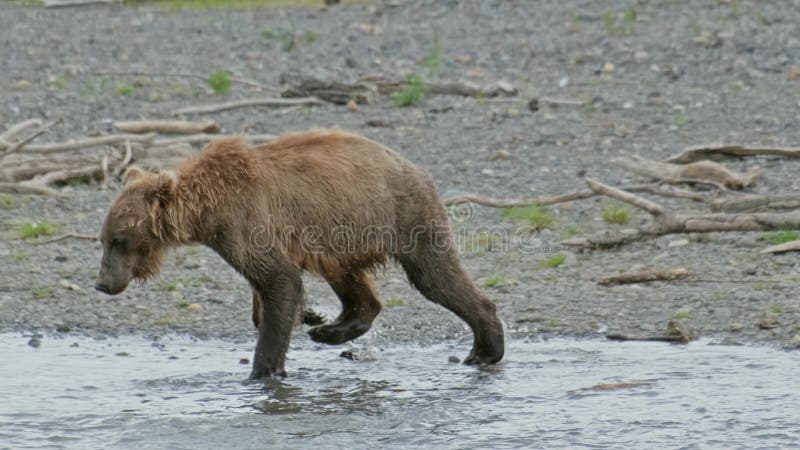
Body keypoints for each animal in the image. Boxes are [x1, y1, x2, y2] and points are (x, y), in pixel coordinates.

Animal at [95, 129, 504, 379]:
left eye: (118, 239)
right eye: (103, 239)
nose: (102, 283)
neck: (207, 210)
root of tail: (414, 166)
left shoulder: (245, 224)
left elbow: (278, 280)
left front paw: (263, 370)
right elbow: (268, 292)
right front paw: (307, 315)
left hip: (401, 216)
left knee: (435, 276)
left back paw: (484, 349)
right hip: (340, 235)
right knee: (354, 283)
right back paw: (330, 329)